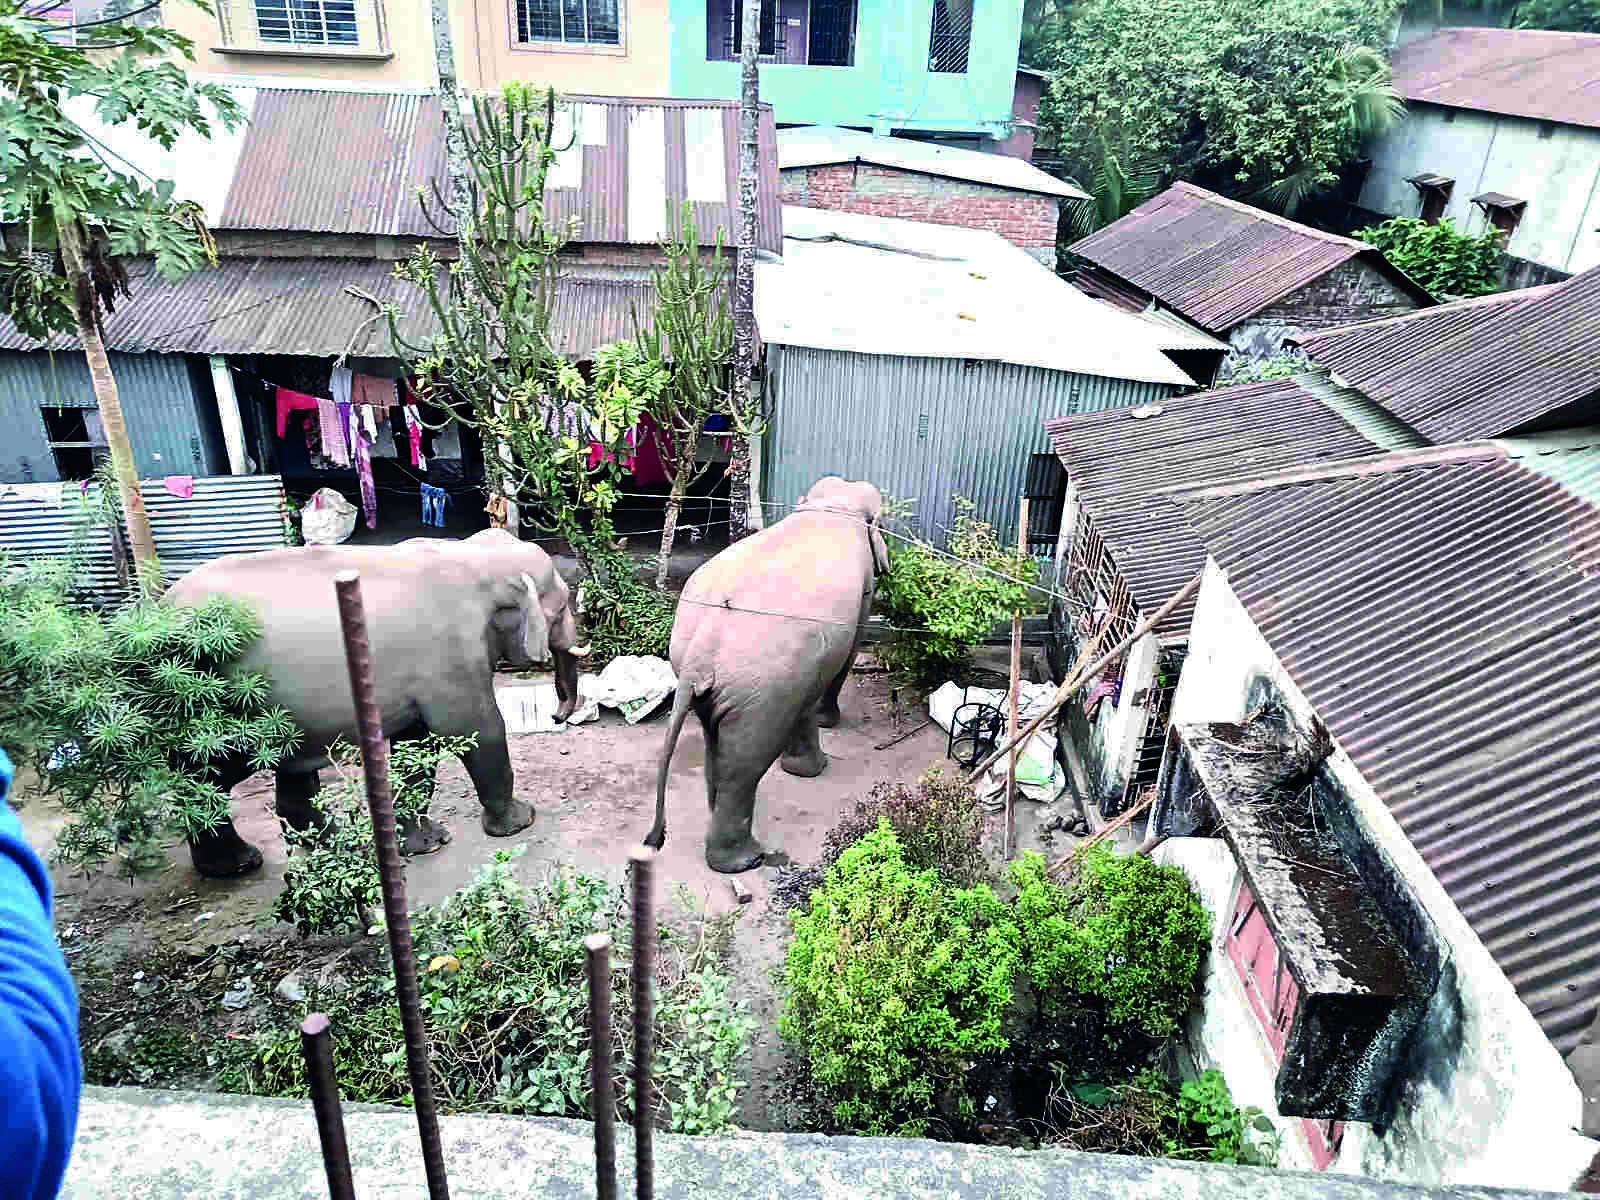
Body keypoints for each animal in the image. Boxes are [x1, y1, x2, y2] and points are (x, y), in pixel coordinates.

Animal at [164, 528, 589, 879]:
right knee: (208, 777)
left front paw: (428, 843)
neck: (471, 555)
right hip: (209, 700)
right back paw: (240, 864)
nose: (557, 715)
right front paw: (520, 822)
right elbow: (472, 729)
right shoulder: (448, 652)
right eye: (562, 608)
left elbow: (417, 745)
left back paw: (334, 846)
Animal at [645, 477, 890, 873]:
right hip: (760, 692)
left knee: (722, 747)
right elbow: (849, 651)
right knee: (745, 763)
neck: (833, 503)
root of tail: (701, 648)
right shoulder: (864, 589)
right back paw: (747, 860)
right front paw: (827, 728)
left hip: (731, 684)